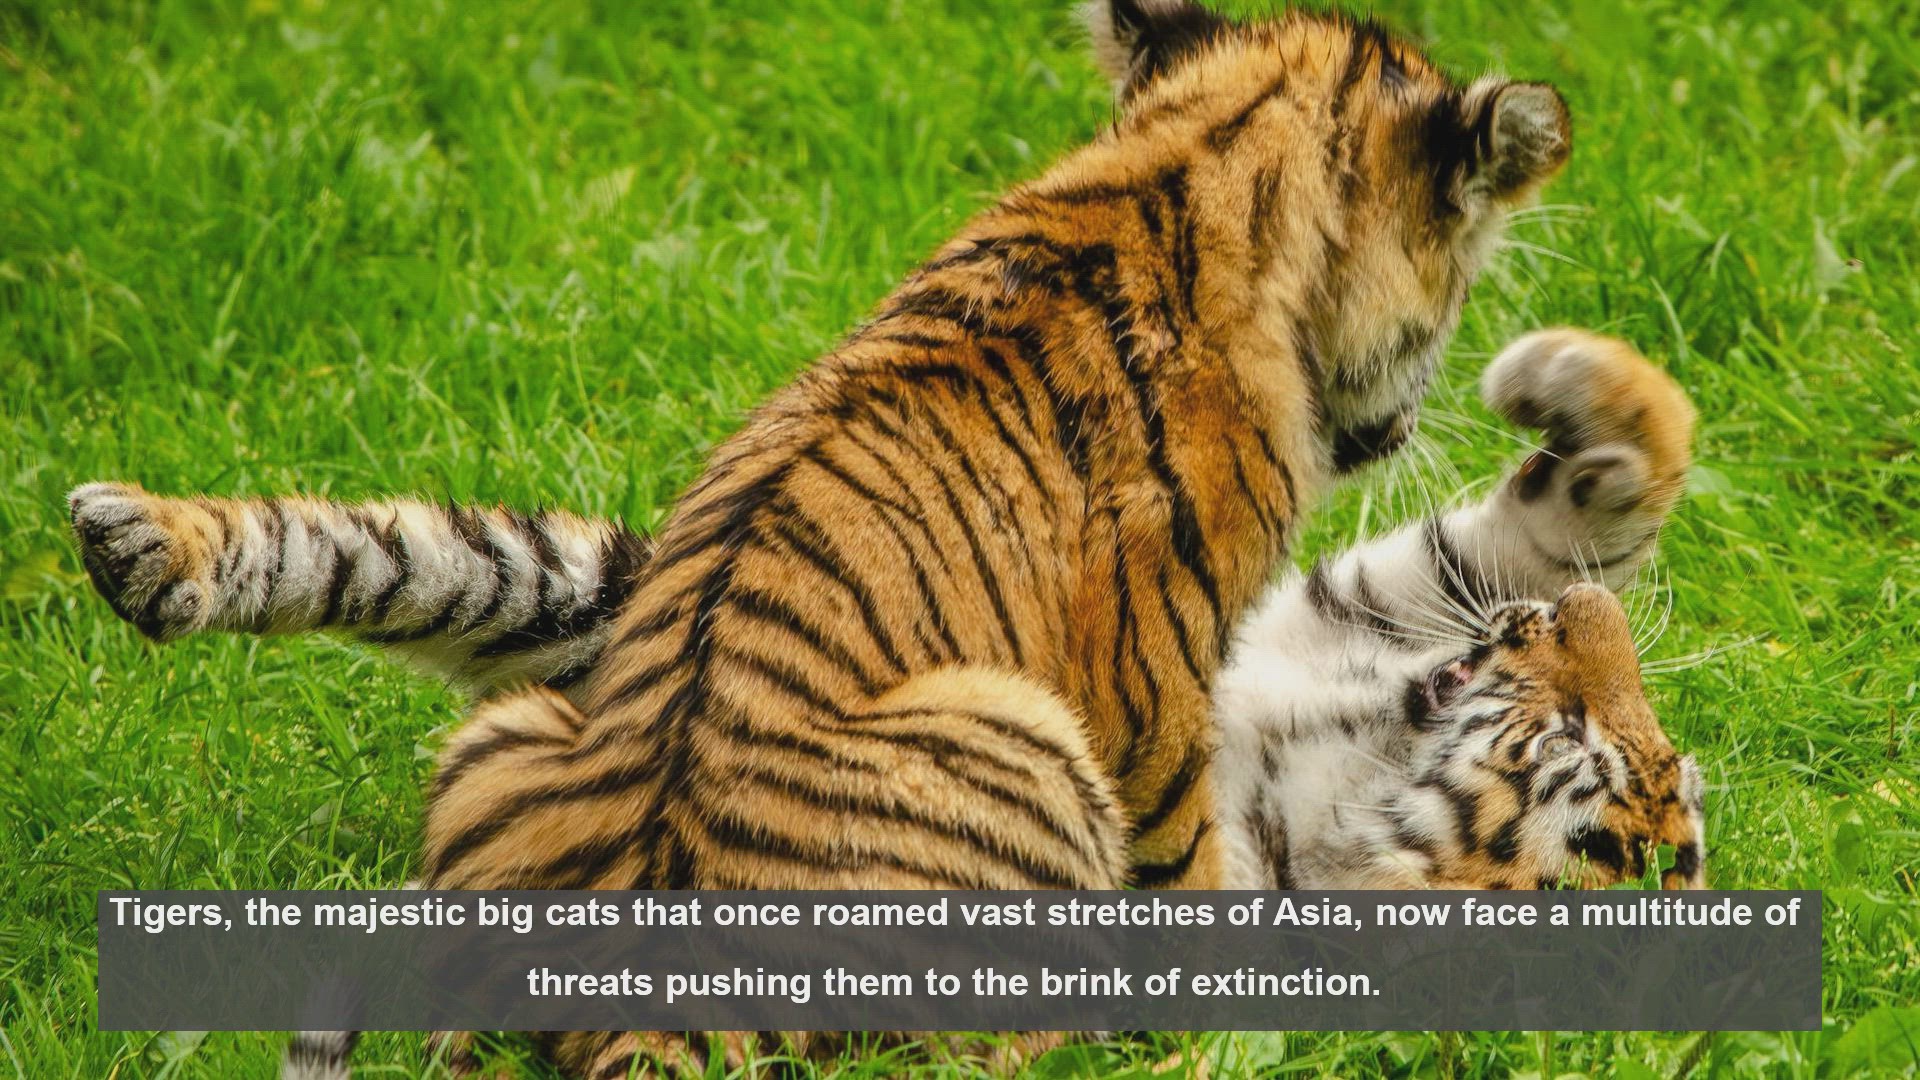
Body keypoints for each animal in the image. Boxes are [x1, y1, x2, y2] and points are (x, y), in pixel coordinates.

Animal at [69, 1, 1579, 1074]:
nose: (1410, 428)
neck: (1182, 167)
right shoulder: (1153, 699)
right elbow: (1192, 886)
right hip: (1025, 732)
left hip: (505, 742)